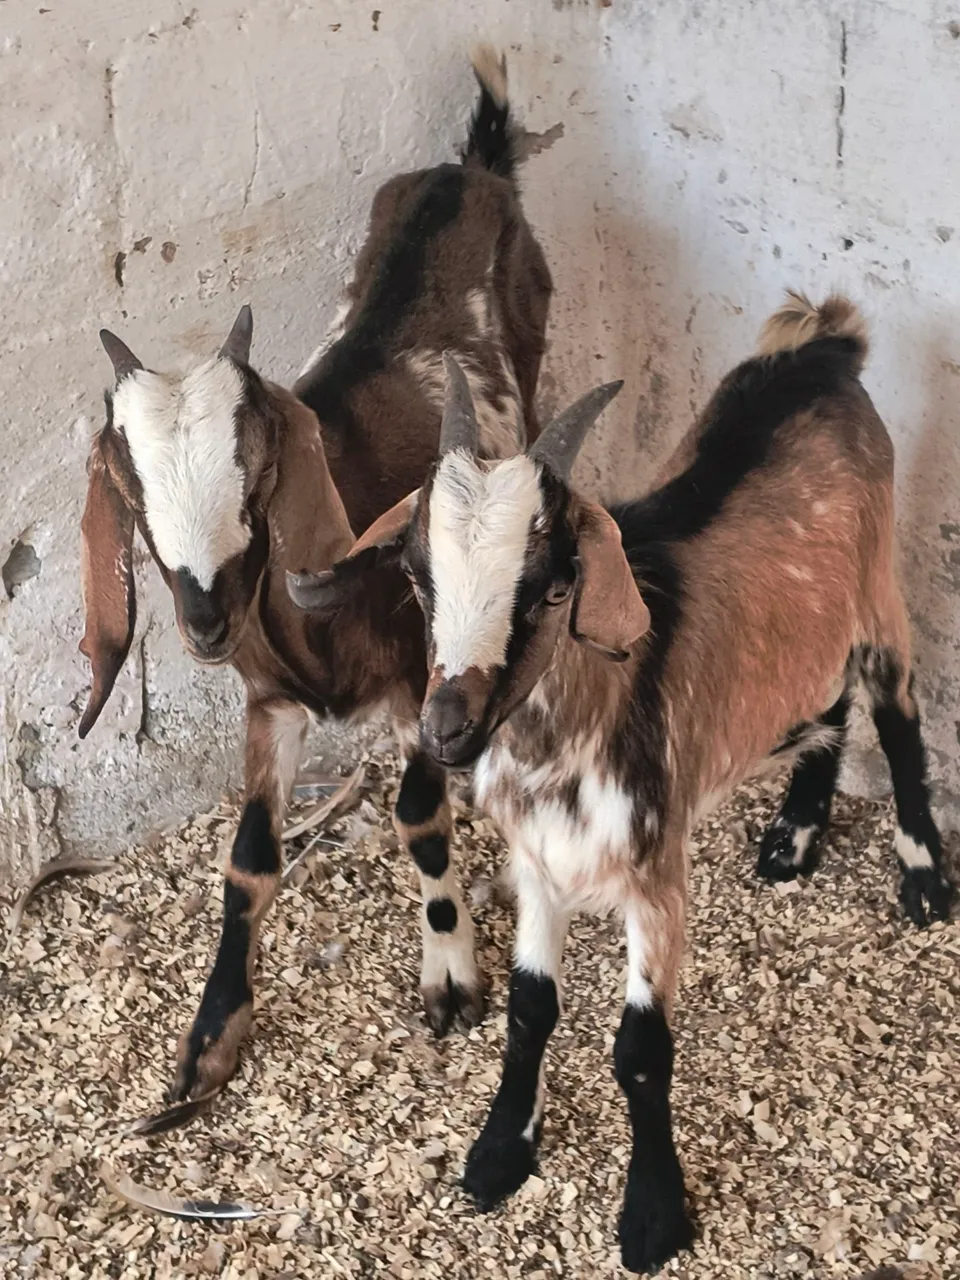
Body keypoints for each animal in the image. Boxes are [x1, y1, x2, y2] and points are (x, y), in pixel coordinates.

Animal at [78, 45, 552, 1103]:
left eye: (258, 477)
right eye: (132, 495)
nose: (206, 621)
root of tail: (471, 169)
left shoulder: (422, 676)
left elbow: (419, 814)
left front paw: (451, 977)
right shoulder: (270, 703)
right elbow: (250, 859)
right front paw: (212, 1040)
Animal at [289, 295, 953, 1272]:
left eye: (551, 585)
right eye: (416, 573)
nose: (446, 727)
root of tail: (821, 346)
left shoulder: (656, 873)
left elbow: (639, 1049)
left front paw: (652, 1216)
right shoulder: (540, 864)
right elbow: (530, 1008)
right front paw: (501, 1152)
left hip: (878, 593)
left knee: (897, 718)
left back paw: (923, 877)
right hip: (809, 622)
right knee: (824, 697)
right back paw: (793, 838)